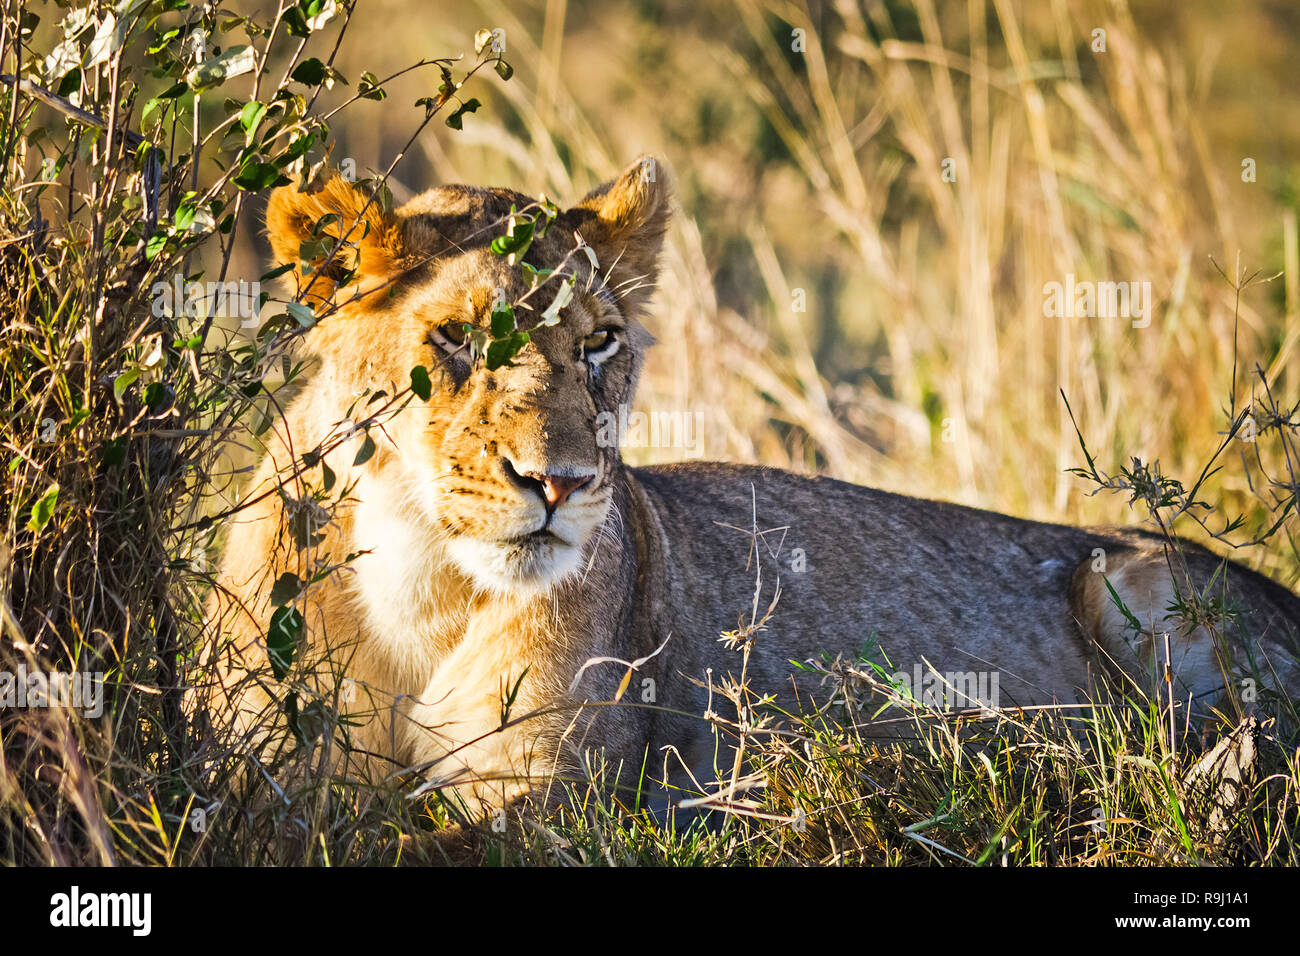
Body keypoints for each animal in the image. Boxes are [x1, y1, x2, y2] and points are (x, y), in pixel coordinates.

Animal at [203, 156, 1300, 819]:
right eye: (460, 337)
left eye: (599, 343)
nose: (562, 482)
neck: (417, 579)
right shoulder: (252, 780)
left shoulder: (553, 805)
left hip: (1137, 578)